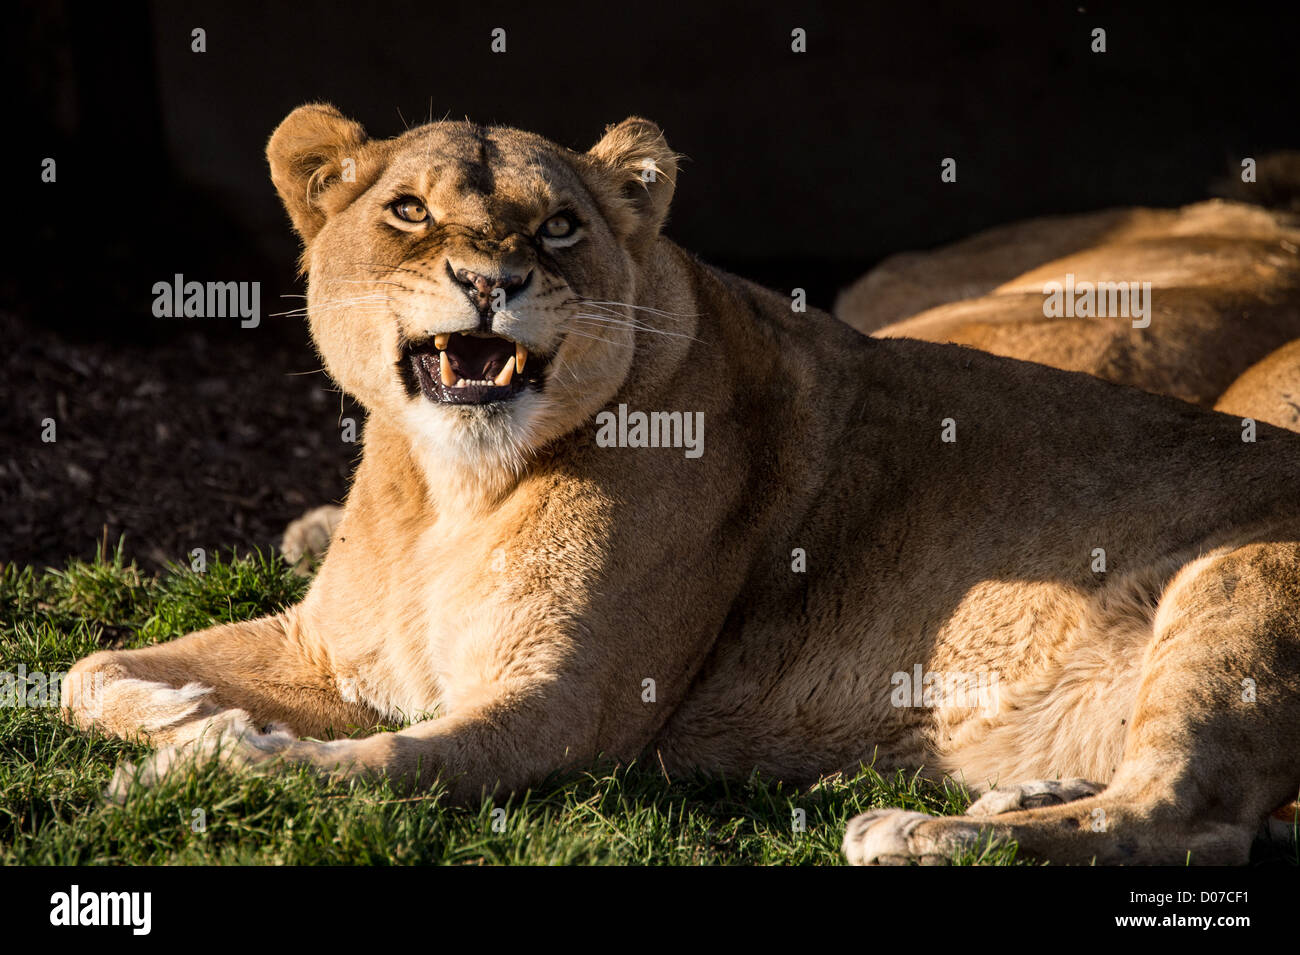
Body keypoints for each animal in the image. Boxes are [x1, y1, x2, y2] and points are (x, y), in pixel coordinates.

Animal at [62, 105, 1300, 865]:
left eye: (559, 225)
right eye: (408, 210)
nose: (491, 280)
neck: (448, 494)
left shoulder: (564, 707)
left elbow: (386, 764)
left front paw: (208, 763)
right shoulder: (324, 652)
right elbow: (86, 672)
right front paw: (194, 714)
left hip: (1236, 587)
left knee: (1185, 815)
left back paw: (920, 833)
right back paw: (996, 796)